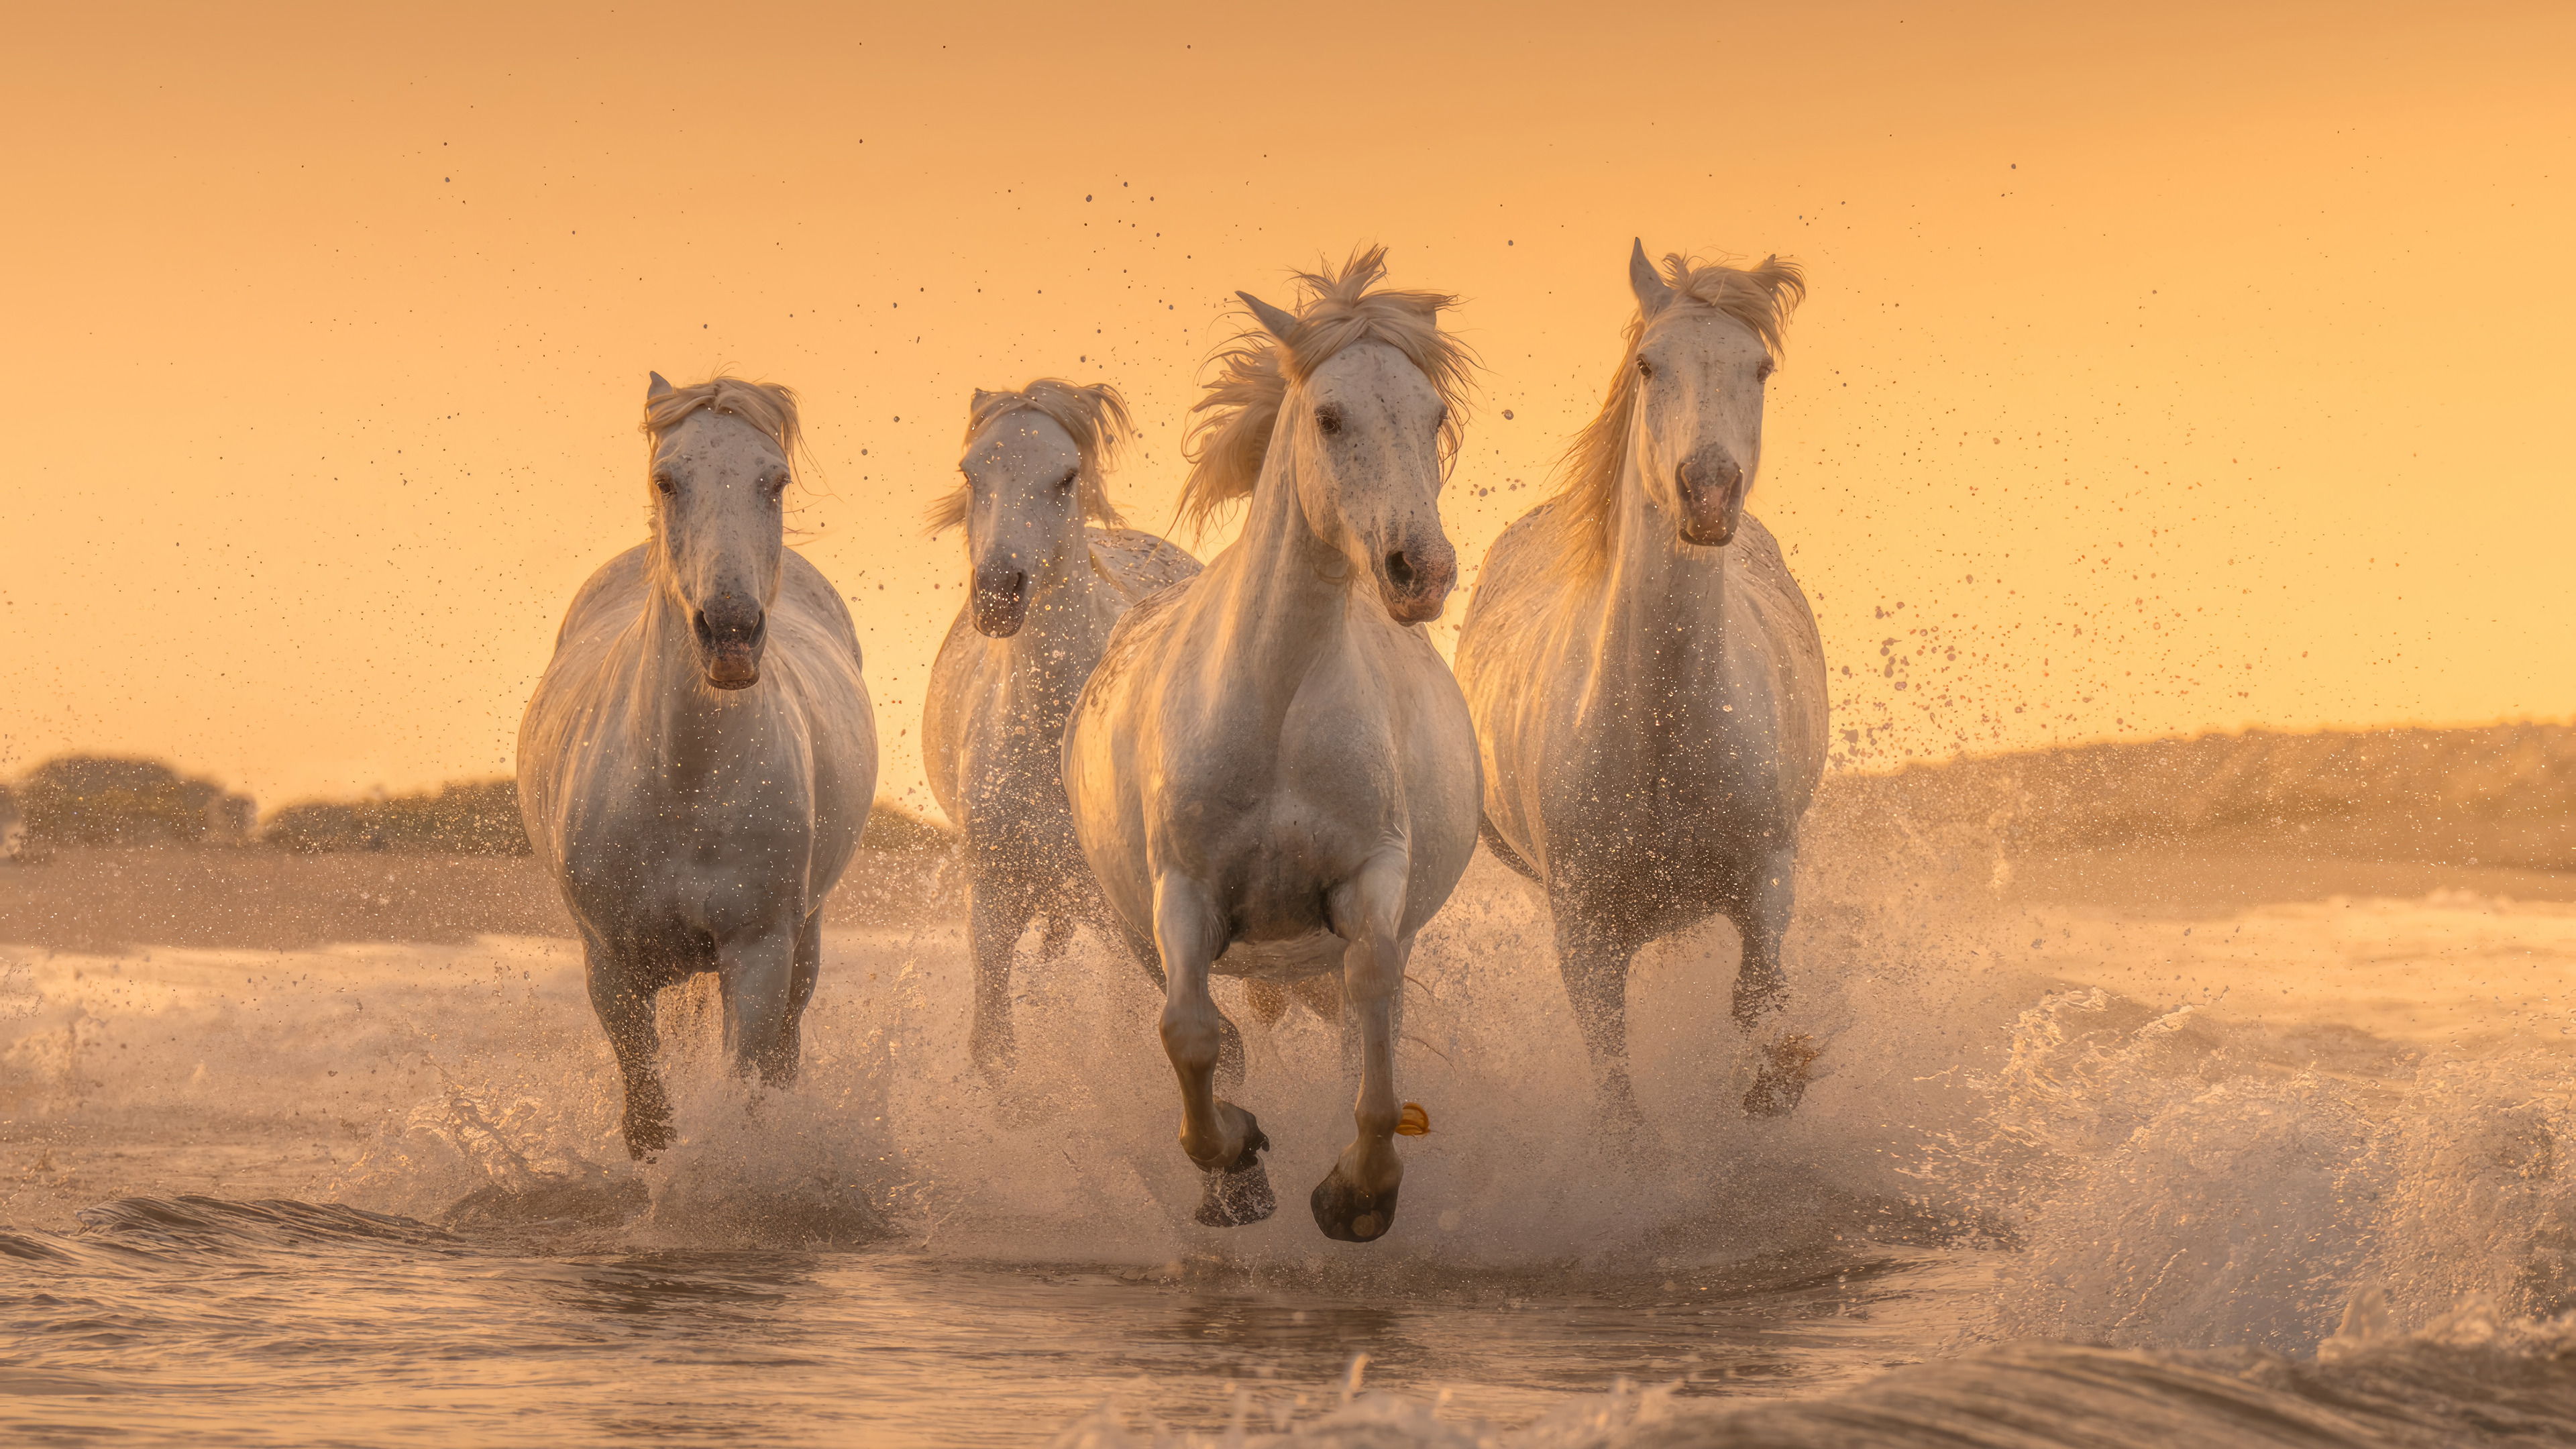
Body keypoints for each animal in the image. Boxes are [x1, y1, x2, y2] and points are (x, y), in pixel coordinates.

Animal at [518, 373, 878, 1160]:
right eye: (667, 480)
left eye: (774, 480)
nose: (732, 633)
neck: (682, 781)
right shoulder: (614, 967)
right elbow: (650, 1122)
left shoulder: (760, 954)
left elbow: (744, 1099)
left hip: (804, 942)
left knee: (784, 1057)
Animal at [919, 379, 1231, 1082]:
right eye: (970, 472)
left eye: (1066, 476)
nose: (998, 592)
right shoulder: (995, 896)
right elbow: (994, 1050)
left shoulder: (1131, 914)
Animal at [1062, 246, 1482, 1242]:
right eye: (1329, 417)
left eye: (1434, 415)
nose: (1421, 570)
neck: (1277, 705)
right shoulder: (1184, 894)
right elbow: (1189, 1034)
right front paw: (1237, 1167)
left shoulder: (1371, 877)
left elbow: (1374, 1003)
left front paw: (1359, 1193)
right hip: (1140, 929)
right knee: (1215, 1031)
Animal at [1454, 241, 1829, 1126]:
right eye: (1649, 365)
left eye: (1760, 367)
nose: (1709, 491)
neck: (1663, 725)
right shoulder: (1586, 932)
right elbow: (1619, 1093)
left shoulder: (1768, 877)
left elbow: (1758, 1000)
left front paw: (1768, 1085)